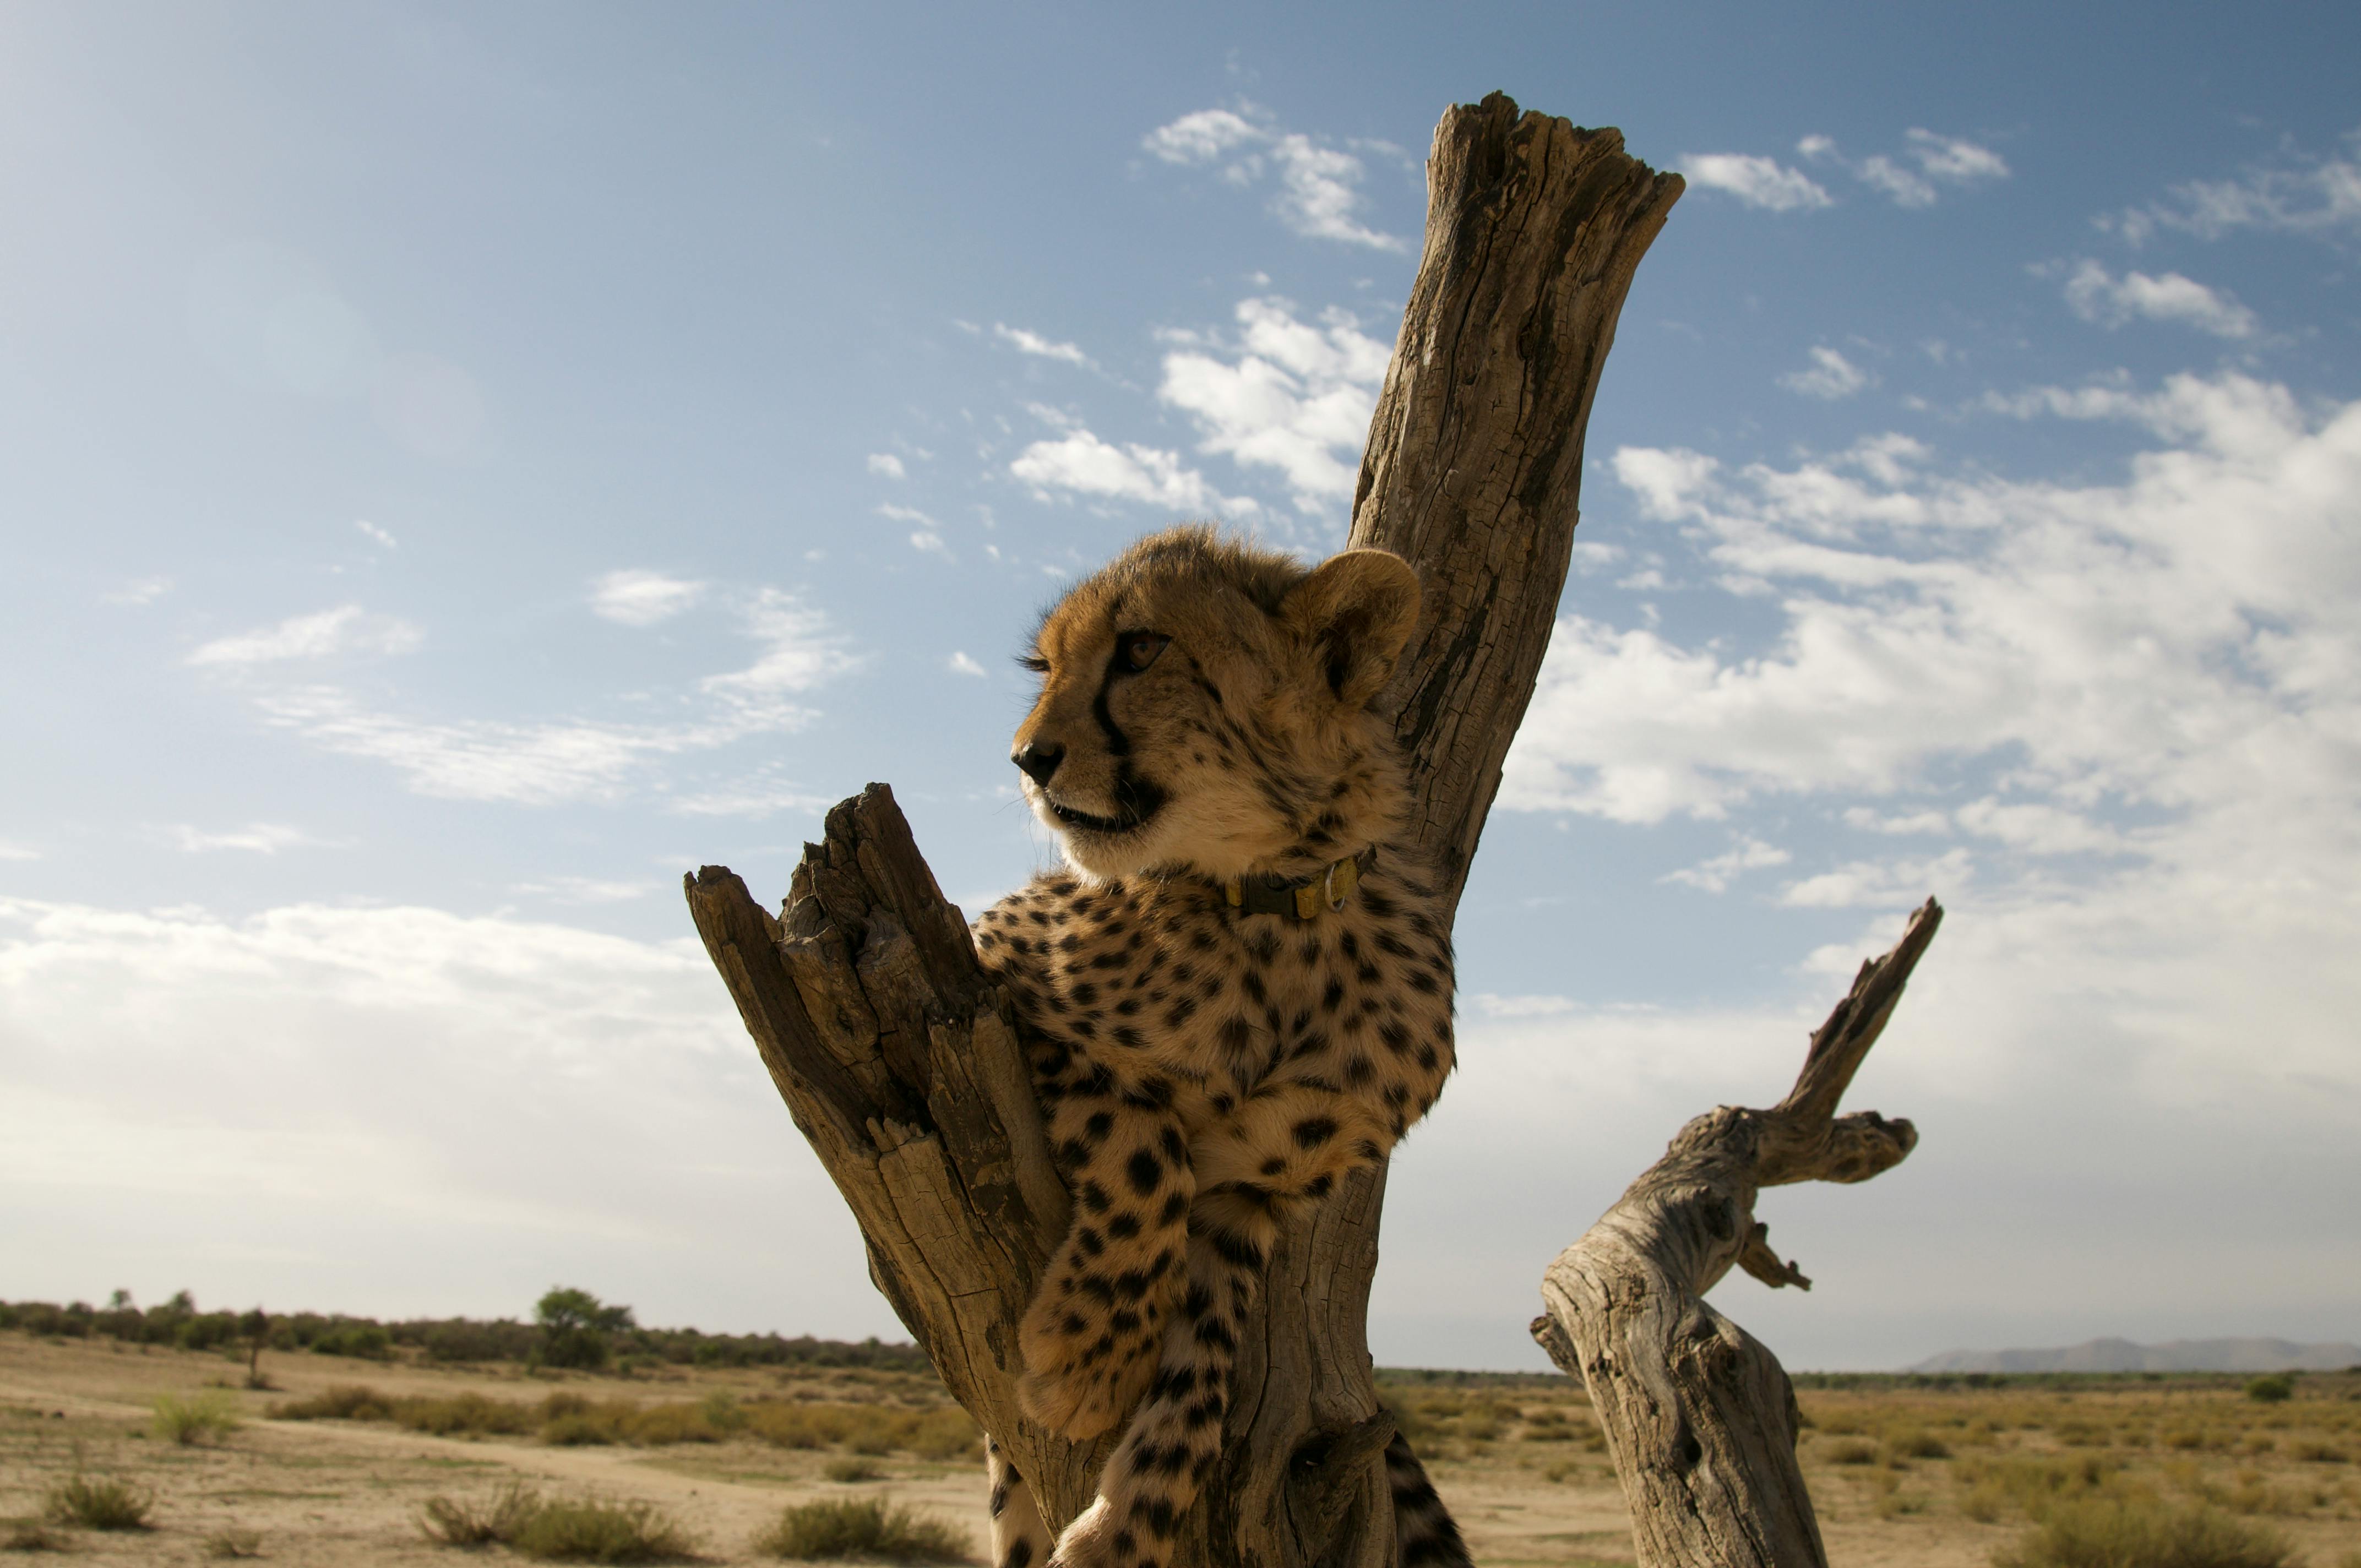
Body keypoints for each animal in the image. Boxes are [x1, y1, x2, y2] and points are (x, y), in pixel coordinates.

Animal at [968, 525, 1471, 1568]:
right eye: (1045, 666)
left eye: (1141, 649)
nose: (1028, 758)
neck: (1270, 903)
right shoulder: (983, 963)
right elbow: (1145, 1147)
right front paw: (1089, 1357)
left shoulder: (1254, 1194)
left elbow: (1204, 1361)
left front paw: (1127, 1528)